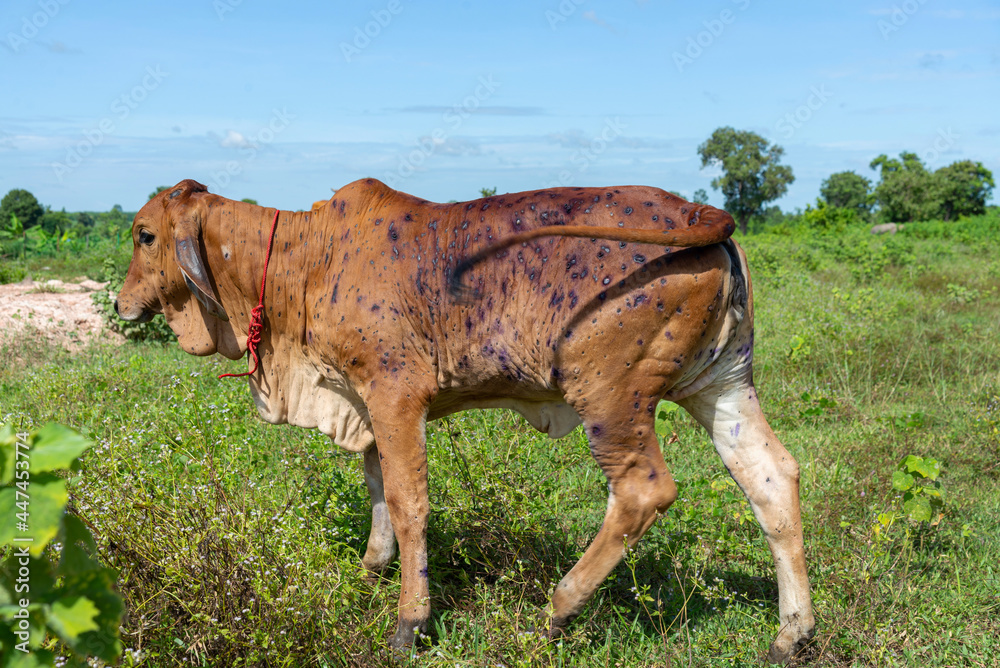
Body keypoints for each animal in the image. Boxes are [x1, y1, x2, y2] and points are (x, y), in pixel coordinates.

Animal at [115, 178, 815, 664]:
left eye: (144, 234)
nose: (121, 304)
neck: (306, 259)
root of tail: (701, 213)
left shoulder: (395, 393)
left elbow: (408, 503)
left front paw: (409, 623)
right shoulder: (364, 404)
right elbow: (377, 491)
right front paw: (369, 572)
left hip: (611, 396)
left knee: (644, 492)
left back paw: (559, 609)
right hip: (720, 384)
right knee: (771, 478)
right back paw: (791, 636)